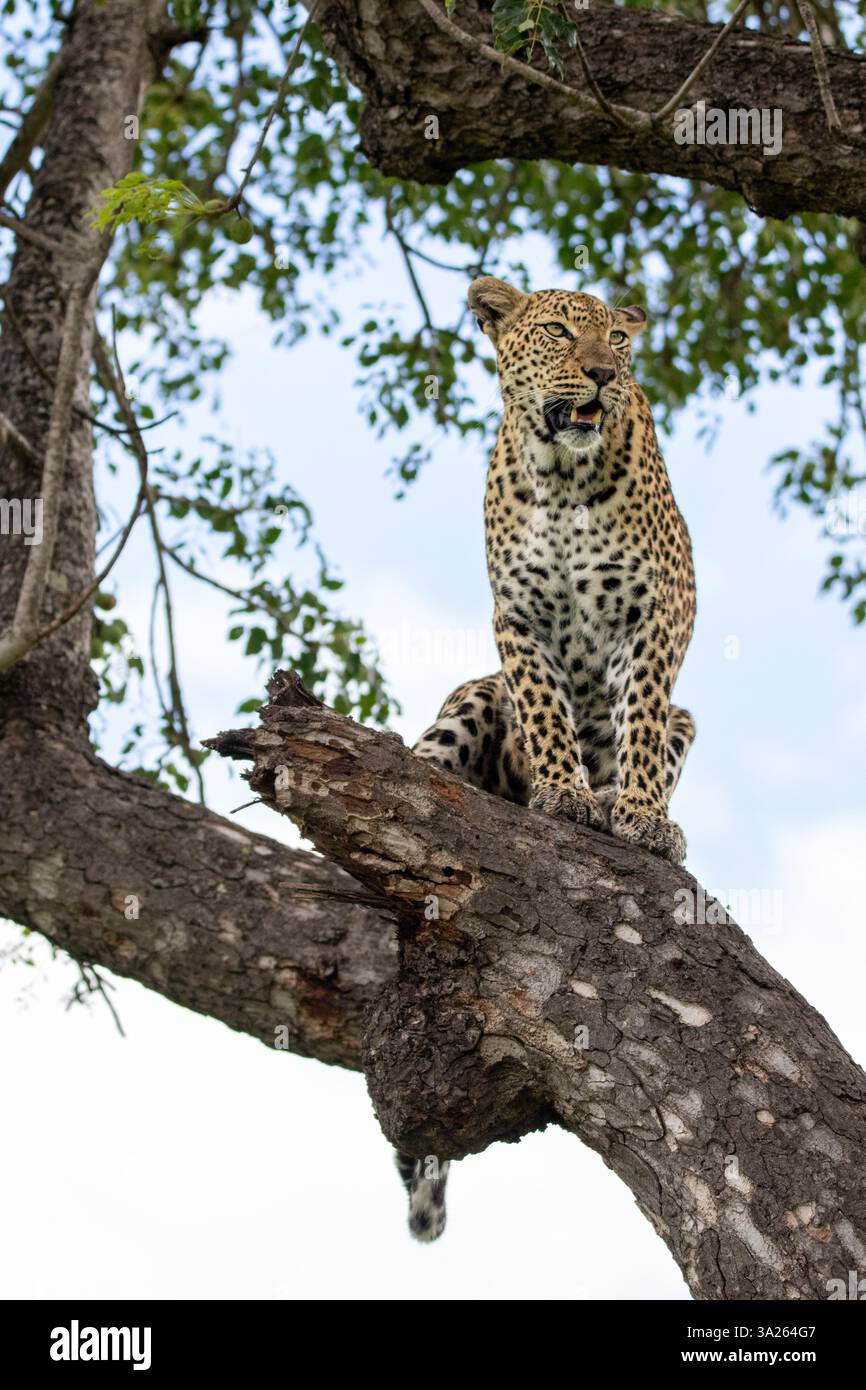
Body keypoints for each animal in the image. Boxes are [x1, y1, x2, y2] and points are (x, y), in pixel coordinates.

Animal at [397, 276, 697, 1242]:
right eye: (561, 331)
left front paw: (634, 813)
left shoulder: (655, 613)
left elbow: (637, 723)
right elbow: (546, 710)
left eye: (619, 340)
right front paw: (564, 794)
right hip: (466, 703)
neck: (563, 481)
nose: (602, 372)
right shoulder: (519, 624)